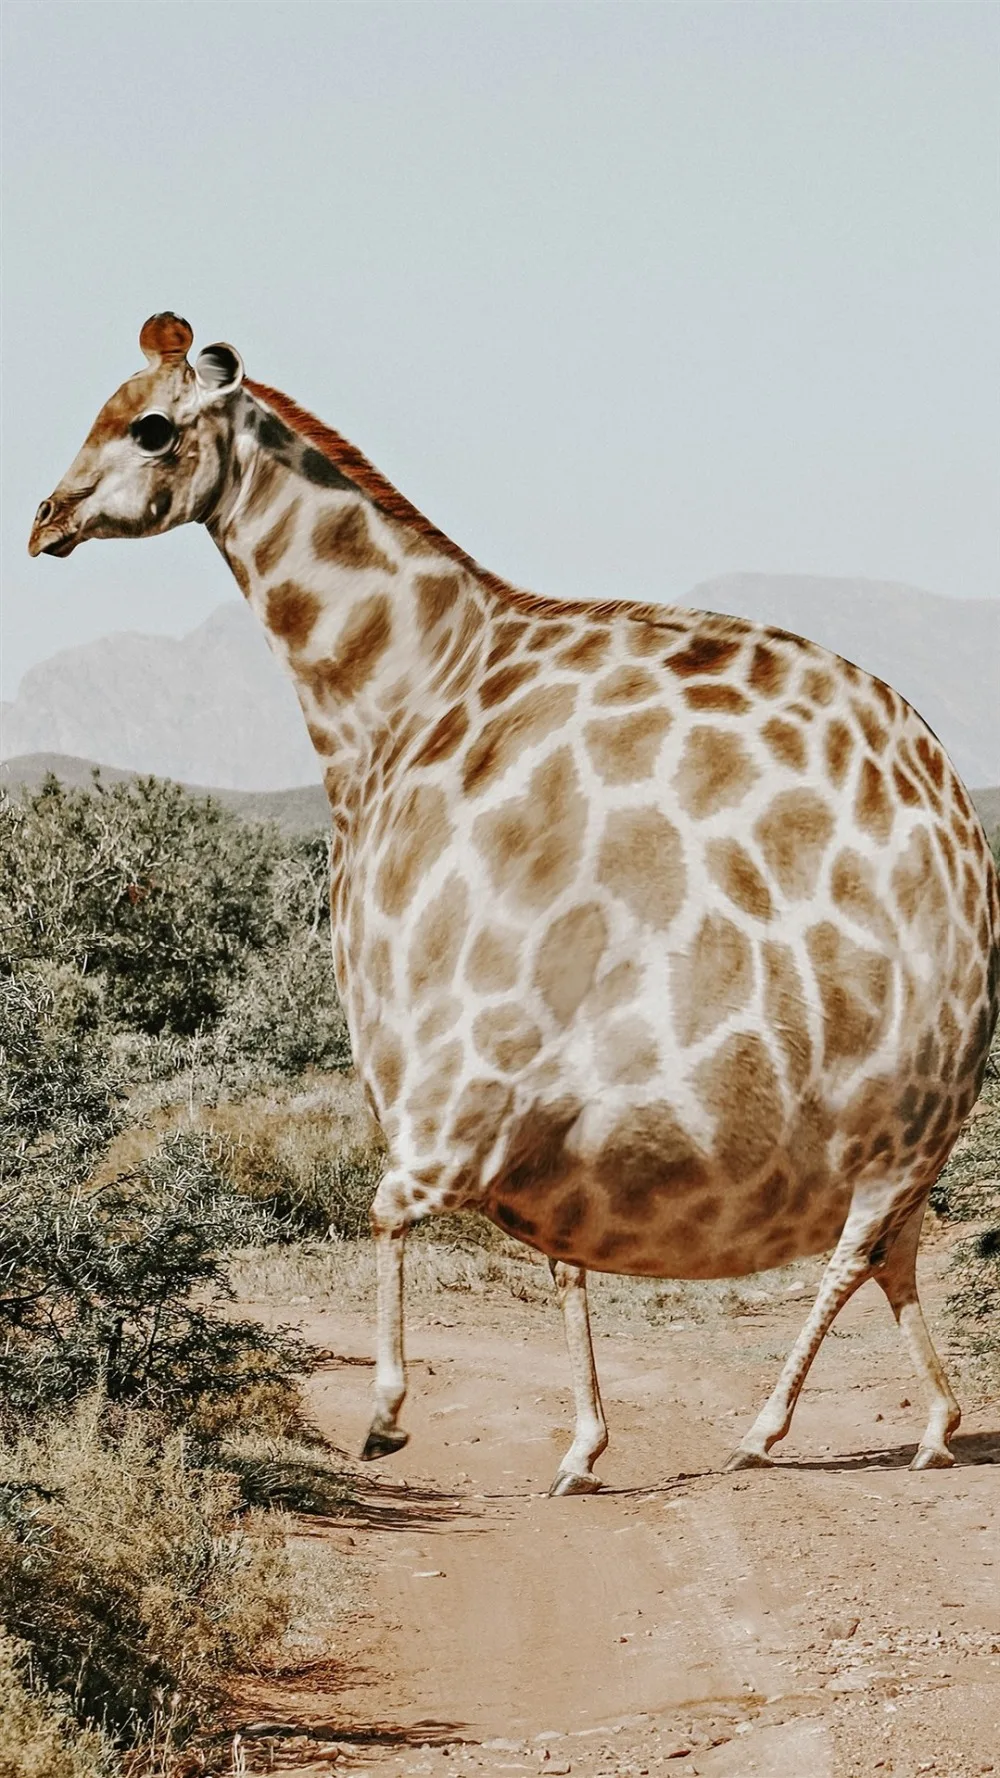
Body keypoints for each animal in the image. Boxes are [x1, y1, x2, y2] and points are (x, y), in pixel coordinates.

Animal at [30, 313, 1000, 1492]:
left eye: (152, 426)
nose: (45, 521)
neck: (388, 713)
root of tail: (963, 832)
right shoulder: (530, 1113)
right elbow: (555, 1262)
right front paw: (580, 1447)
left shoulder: (470, 1068)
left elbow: (392, 1208)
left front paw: (386, 1416)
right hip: (903, 1138)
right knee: (893, 1256)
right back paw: (934, 1424)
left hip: (895, 1118)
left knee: (856, 1249)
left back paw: (765, 1430)